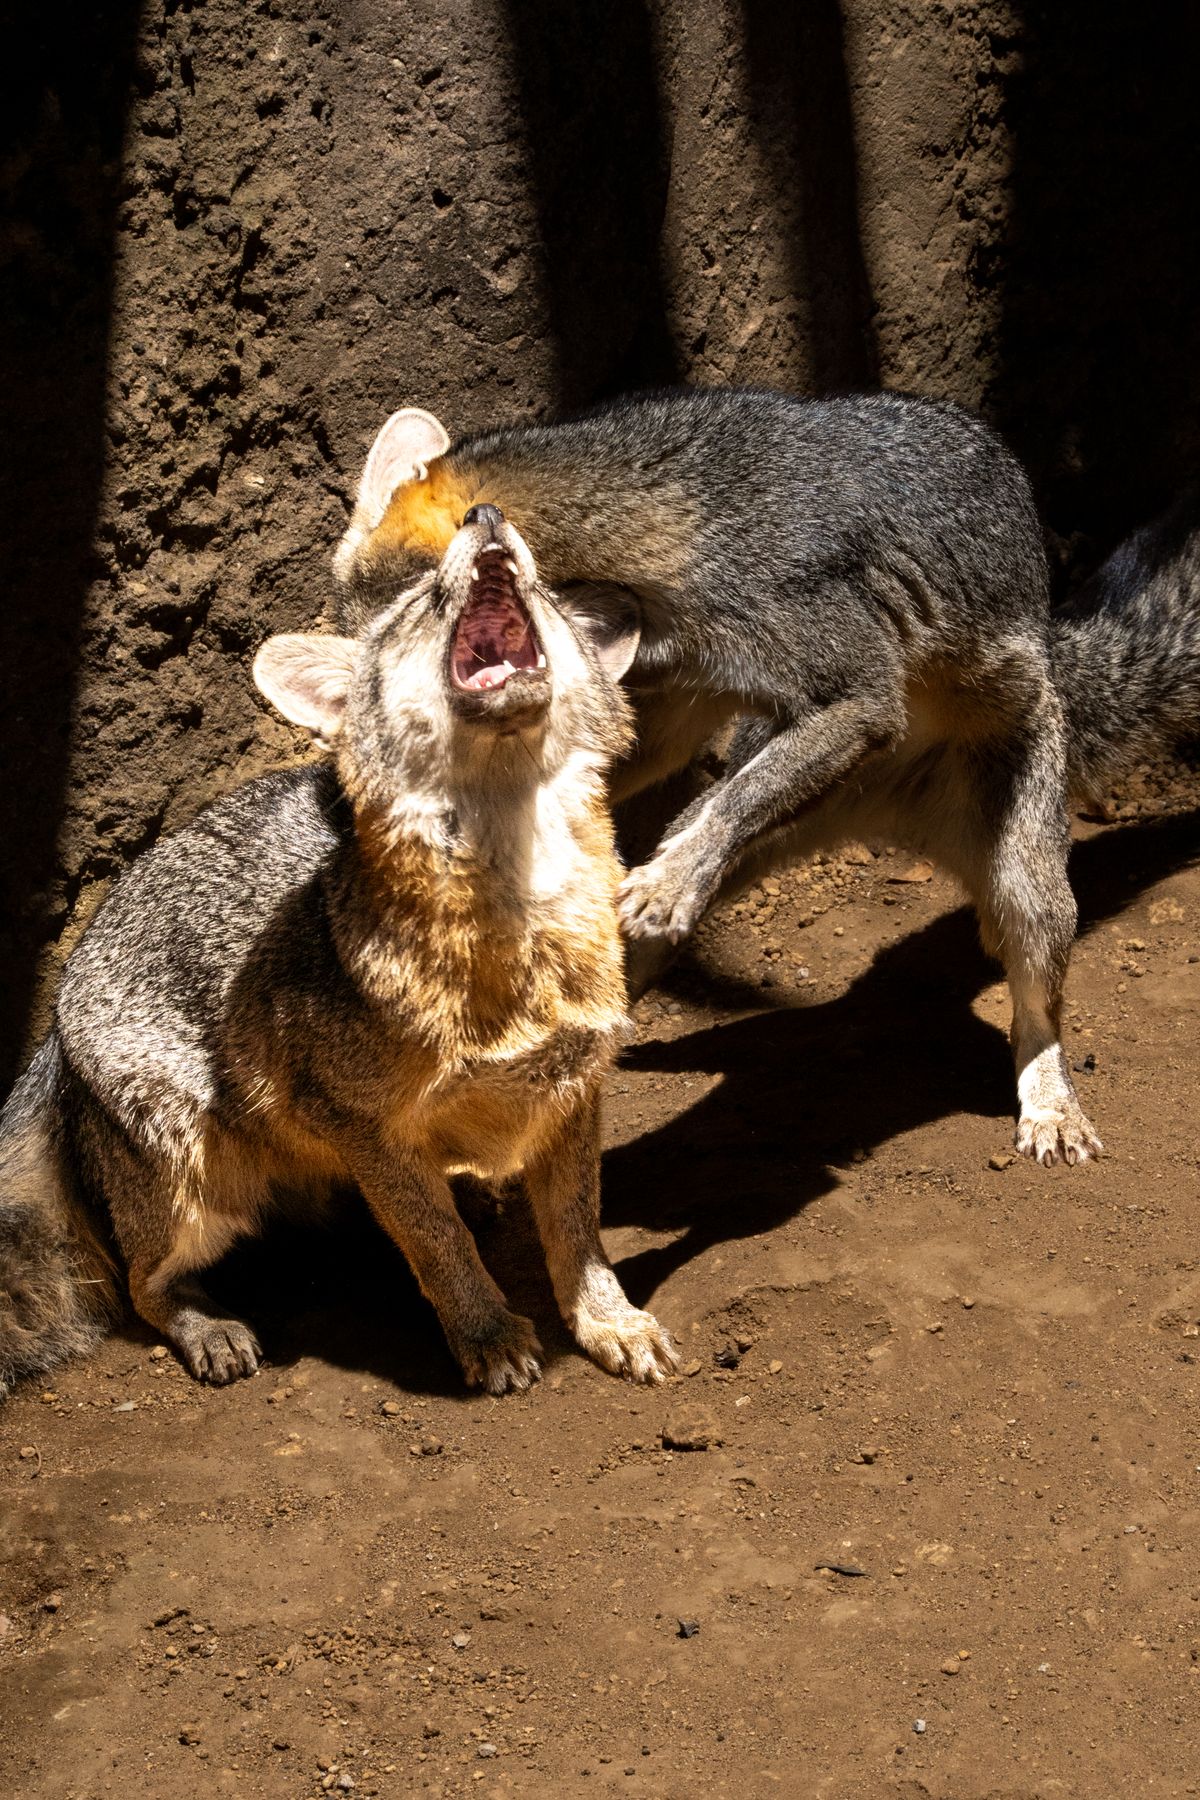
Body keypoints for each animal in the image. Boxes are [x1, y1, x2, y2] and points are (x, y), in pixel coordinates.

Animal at [0, 506, 679, 1399]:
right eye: (422, 602)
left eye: (547, 598)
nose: (484, 515)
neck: (514, 927)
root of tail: (53, 1017)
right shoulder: (353, 1119)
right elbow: (435, 1241)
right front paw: (487, 1331)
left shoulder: (572, 1086)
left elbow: (579, 1234)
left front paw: (610, 1320)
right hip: (199, 1187)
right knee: (138, 1284)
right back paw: (207, 1327)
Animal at [333, 390, 1200, 1169]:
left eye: (411, 621)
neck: (668, 515)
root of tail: (891, 814)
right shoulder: (687, 689)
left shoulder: (852, 694)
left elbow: (739, 796)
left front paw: (663, 879)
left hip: (1028, 888)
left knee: (1036, 1013)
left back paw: (1051, 1102)